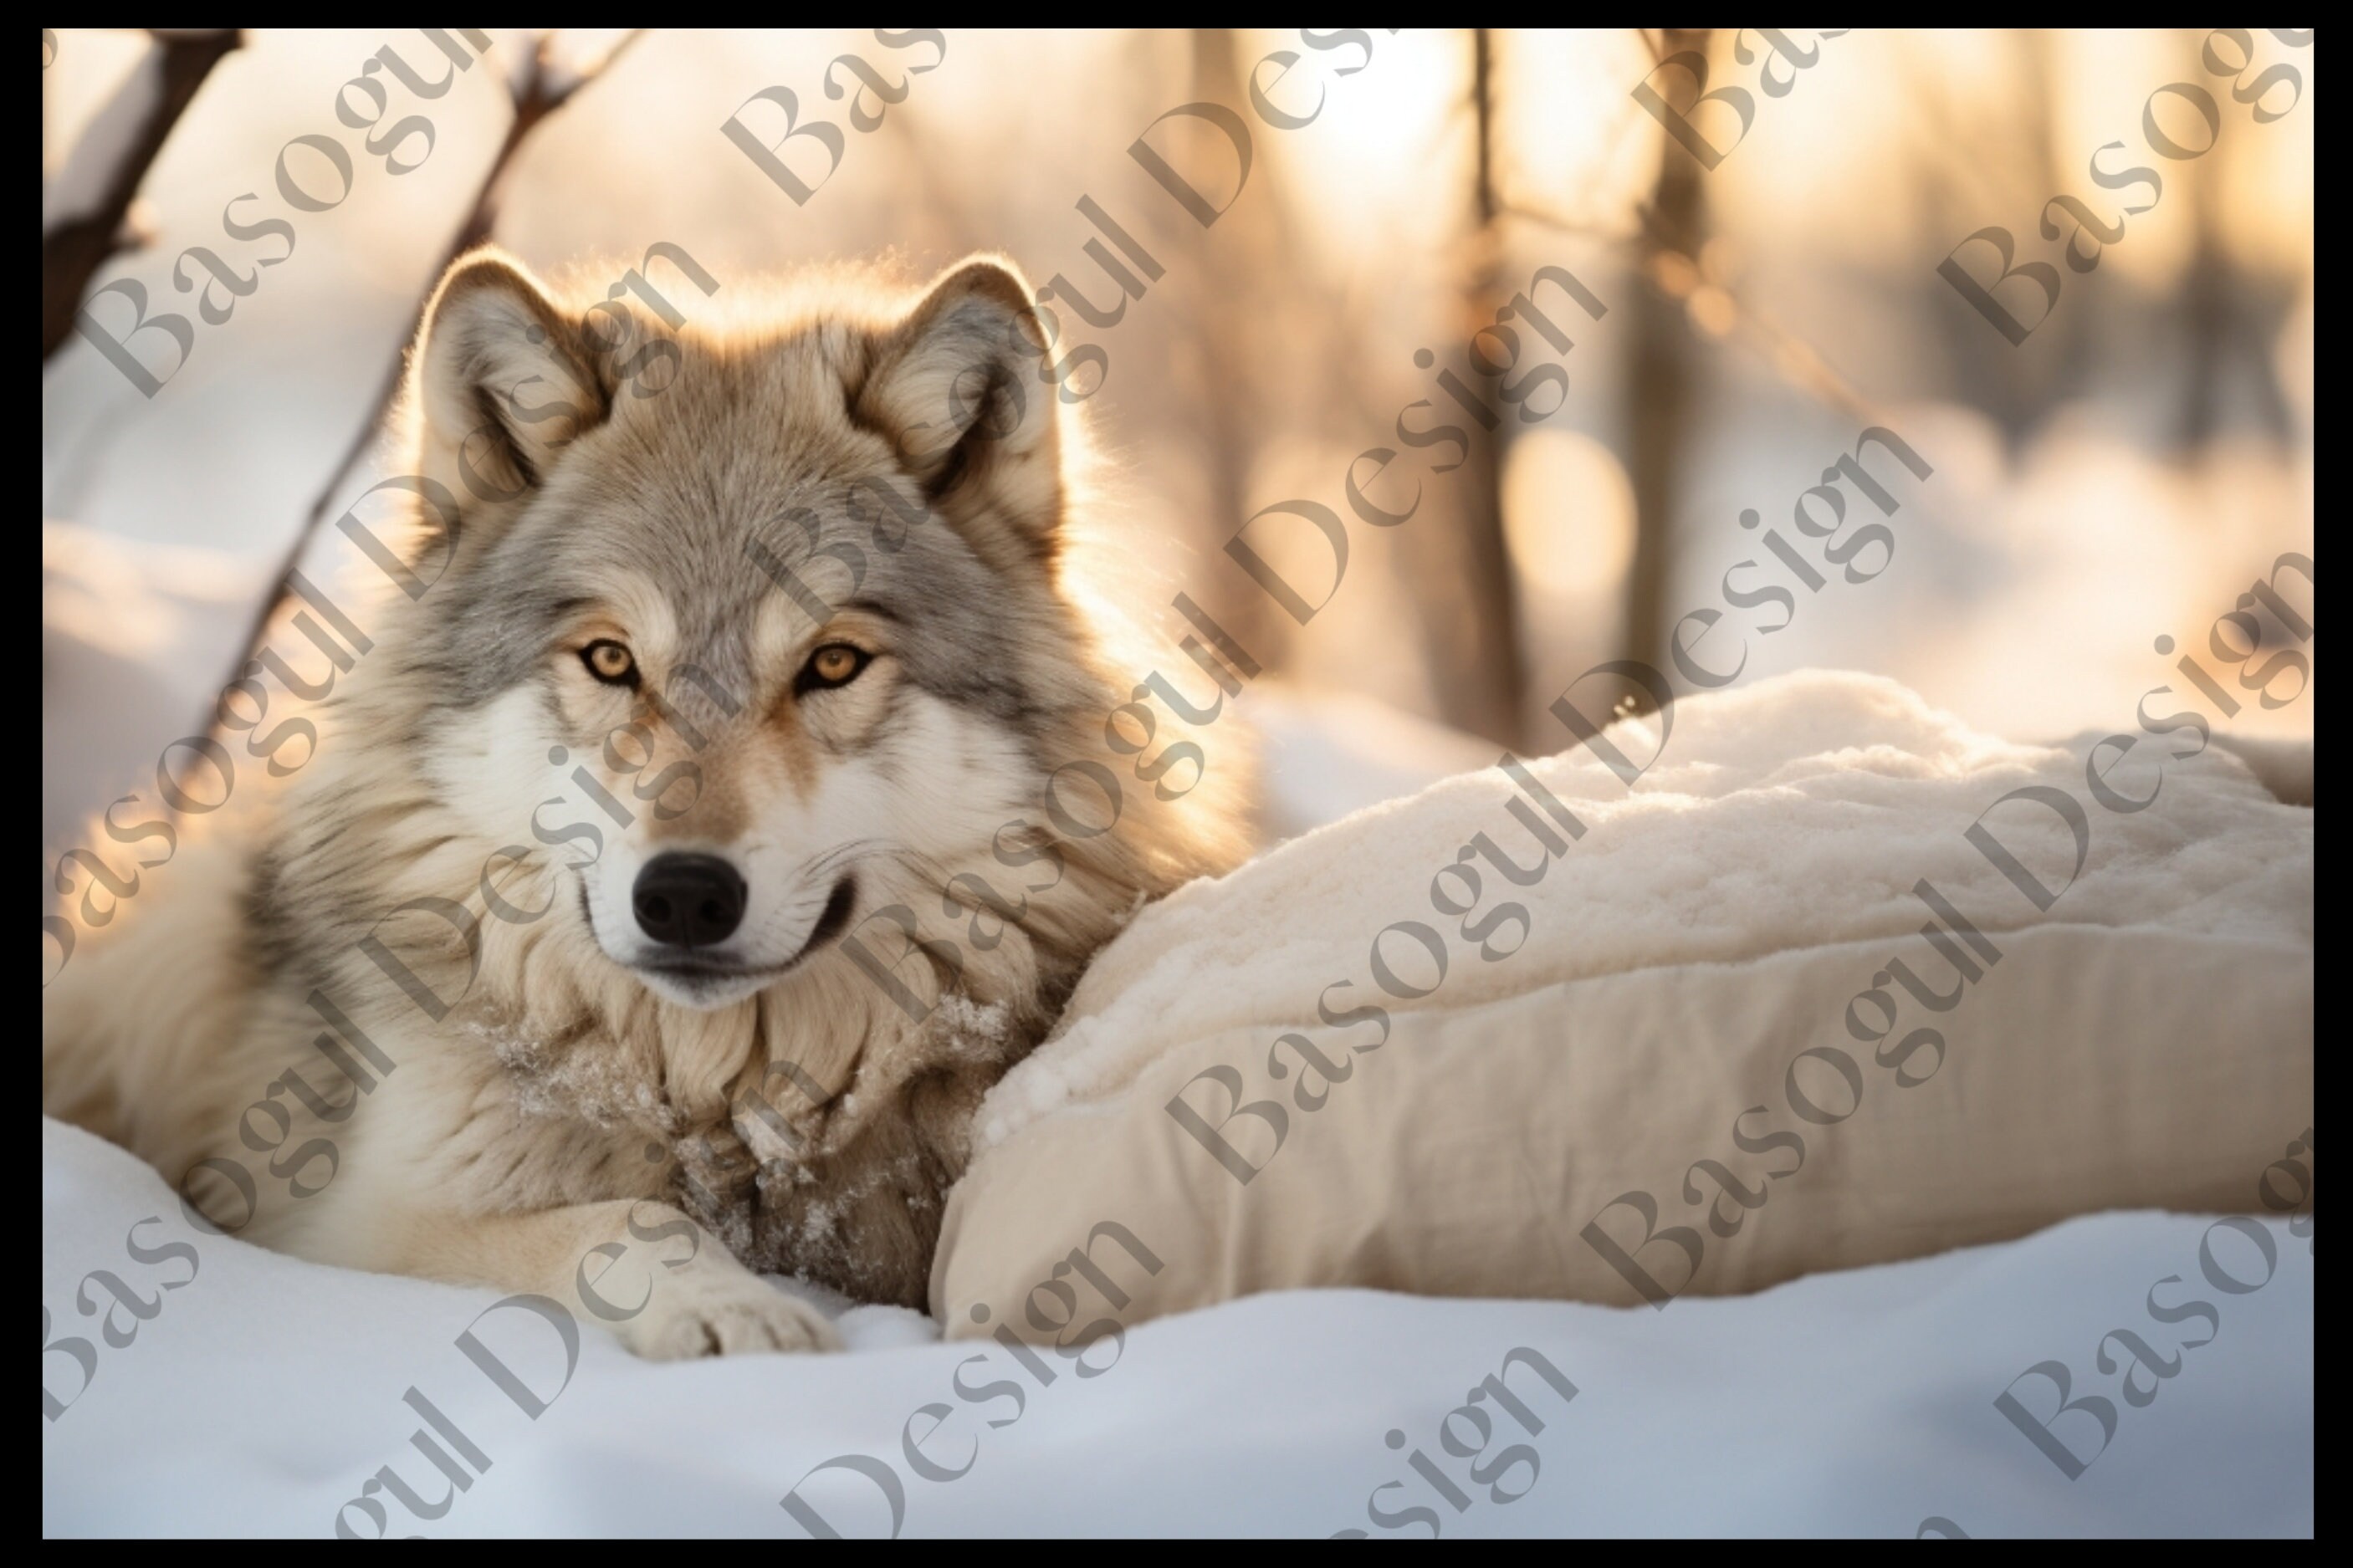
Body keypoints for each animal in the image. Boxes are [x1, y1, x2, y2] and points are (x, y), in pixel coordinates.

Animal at [43, 248, 1243, 1356]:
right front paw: (734, 1311)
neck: (728, 1103)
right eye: (612, 659)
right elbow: (618, 1216)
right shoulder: (347, 1219)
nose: (686, 897)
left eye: (833, 662)